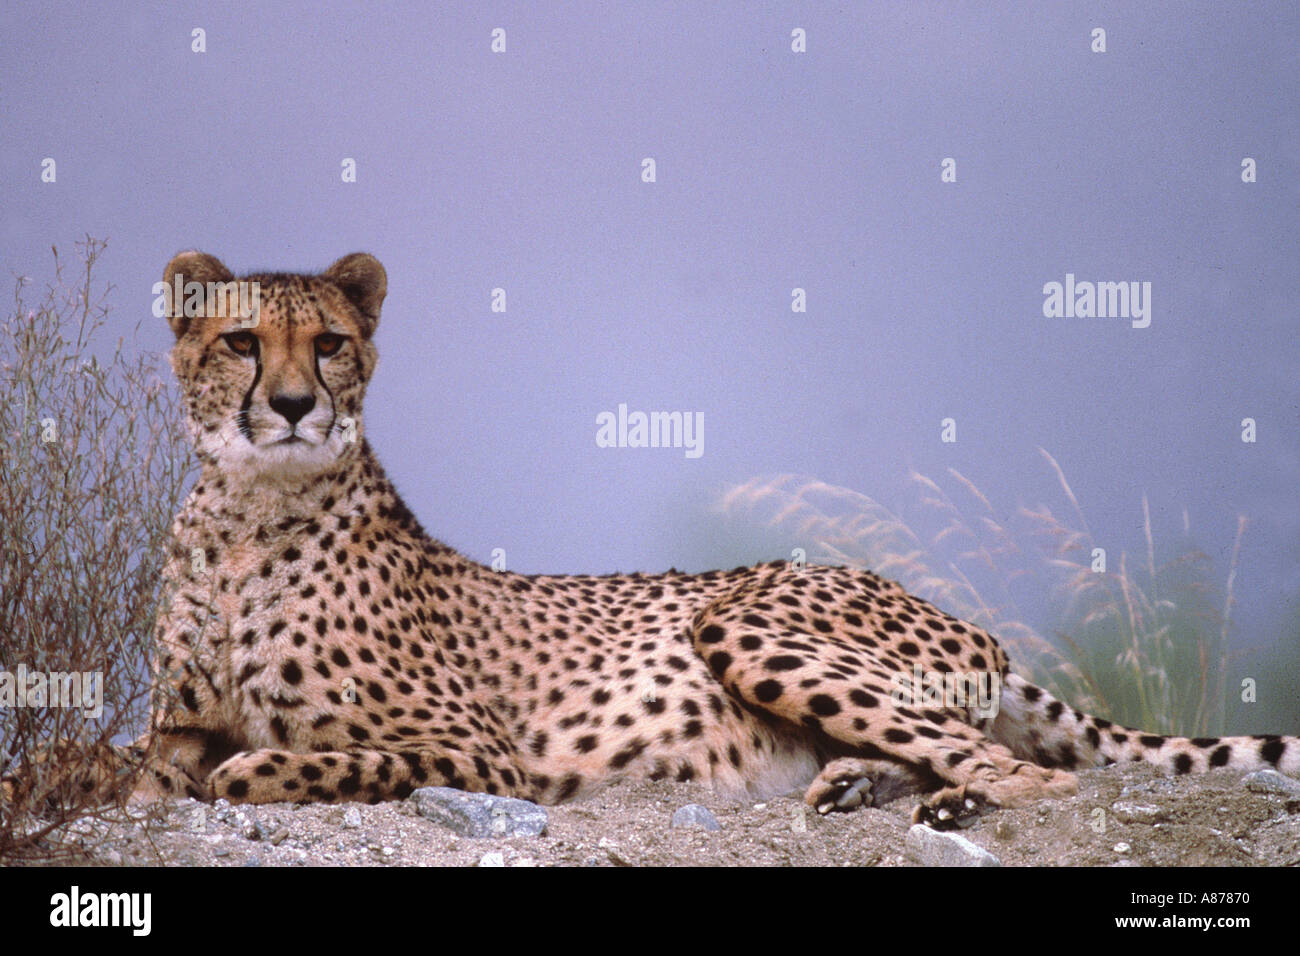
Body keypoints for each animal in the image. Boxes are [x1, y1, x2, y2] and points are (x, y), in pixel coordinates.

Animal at [7, 249, 1297, 830]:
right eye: (239, 342)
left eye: (327, 341)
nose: (286, 404)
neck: (246, 519)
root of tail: (952, 610)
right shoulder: (173, 723)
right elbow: (97, 754)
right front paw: (55, 772)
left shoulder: (484, 754)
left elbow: (307, 758)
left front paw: (255, 773)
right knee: (960, 750)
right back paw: (864, 786)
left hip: (744, 619)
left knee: (1029, 770)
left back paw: (937, 803)